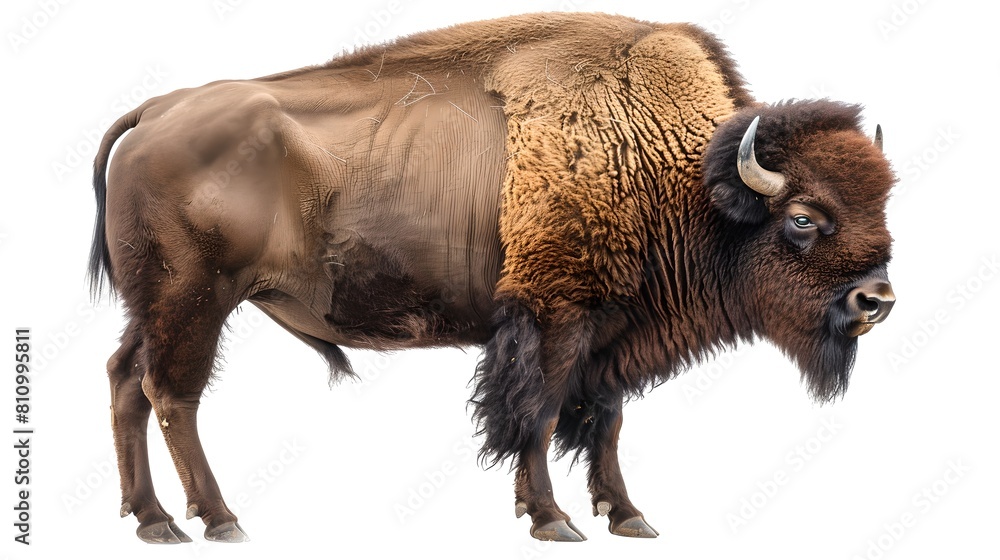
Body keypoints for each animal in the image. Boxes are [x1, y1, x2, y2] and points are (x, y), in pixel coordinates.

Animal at [89, 12, 896, 543]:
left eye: (884, 202)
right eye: (803, 218)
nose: (877, 299)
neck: (677, 175)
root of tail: (156, 110)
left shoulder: (610, 335)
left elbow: (606, 422)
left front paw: (629, 516)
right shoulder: (553, 315)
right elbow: (535, 414)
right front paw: (552, 520)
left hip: (153, 306)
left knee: (126, 378)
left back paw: (152, 520)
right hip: (194, 299)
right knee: (173, 393)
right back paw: (220, 520)